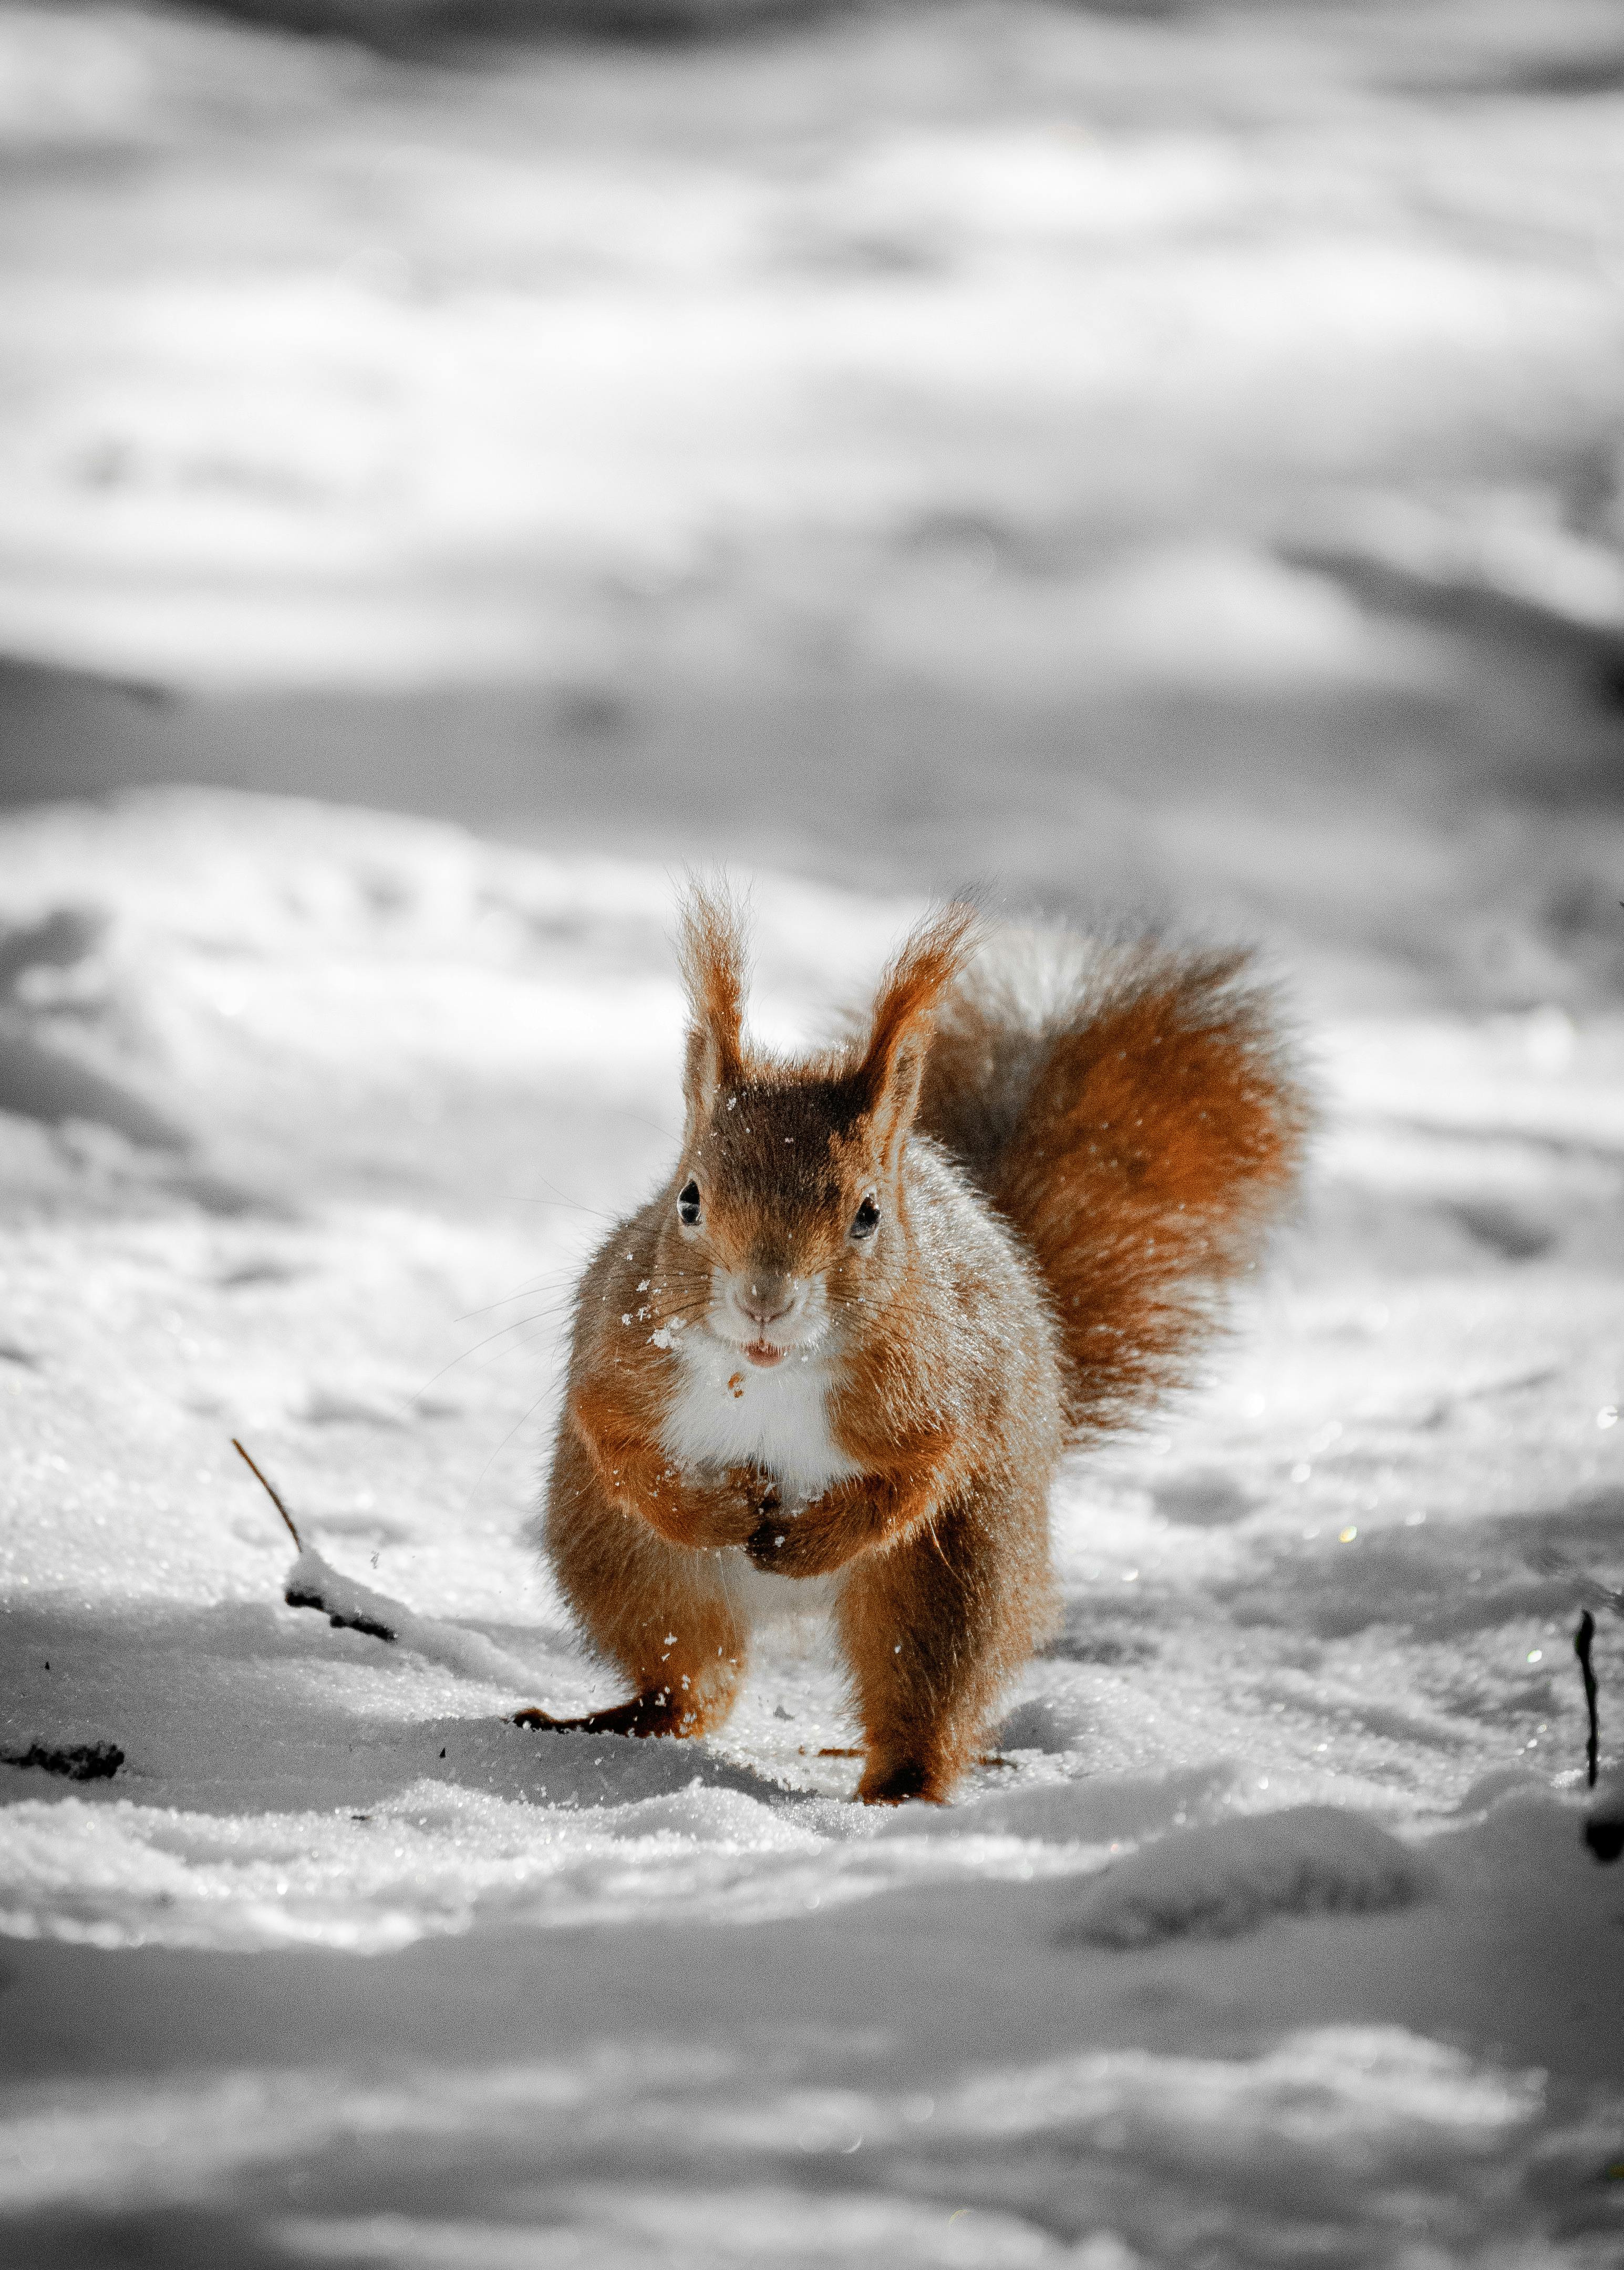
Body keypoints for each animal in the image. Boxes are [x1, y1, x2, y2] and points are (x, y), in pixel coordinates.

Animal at [516, 887, 1307, 1804]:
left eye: (866, 1215)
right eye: (687, 1200)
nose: (764, 1301)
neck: (766, 1376)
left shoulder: (938, 1392)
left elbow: (916, 1477)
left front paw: (802, 1540)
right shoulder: (615, 1360)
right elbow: (617, 1444)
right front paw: (717, 1510)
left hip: (949, 1581)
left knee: (919, 1696)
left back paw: (899, 1784)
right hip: (629, 1568)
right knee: (693, 1683)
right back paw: (609, 1719)